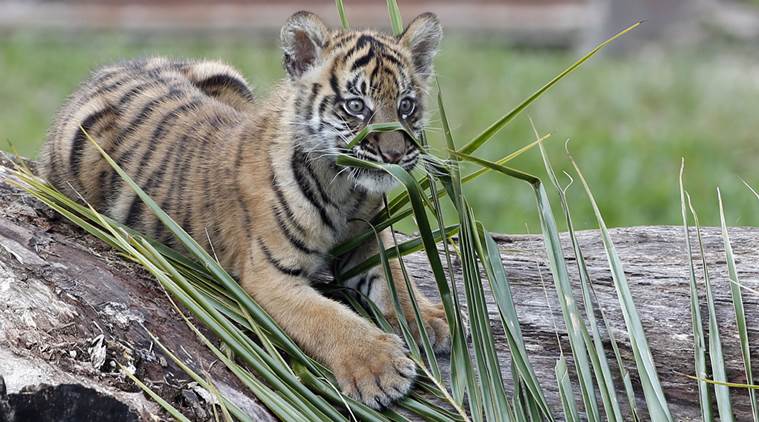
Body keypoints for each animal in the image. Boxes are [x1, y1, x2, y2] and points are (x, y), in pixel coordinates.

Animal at [39, 11, 449, 408]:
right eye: (356, 107)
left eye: (406, 105)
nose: (395, 155)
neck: (346, 188)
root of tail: (107, 70)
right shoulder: (270, 277)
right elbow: (329, 319)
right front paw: (379, 369)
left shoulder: (368, 243)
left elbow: (398, 281)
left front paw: (434, 321)